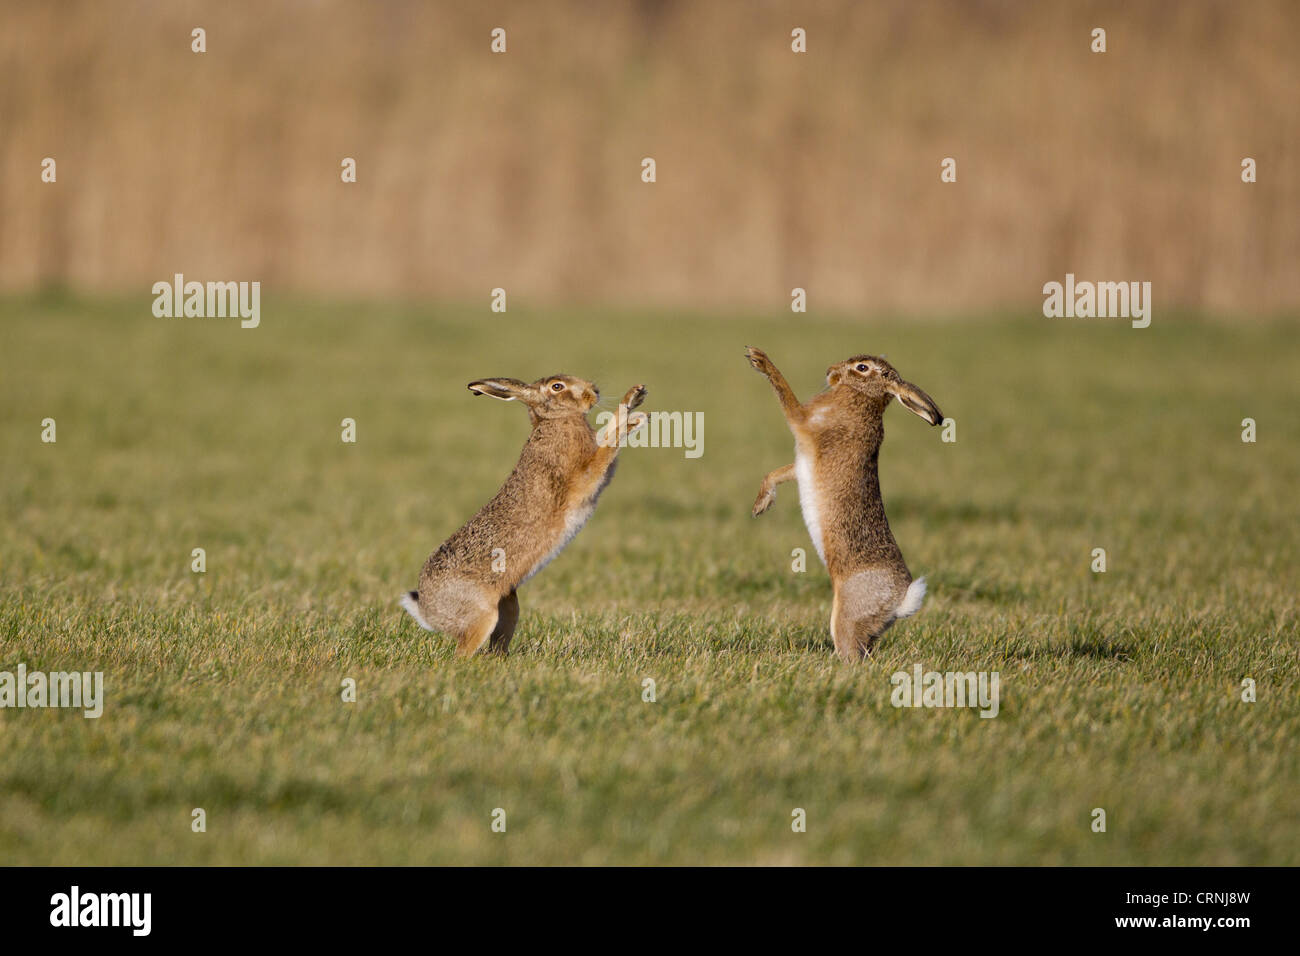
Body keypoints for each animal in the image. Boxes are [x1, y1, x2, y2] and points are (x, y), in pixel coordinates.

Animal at [400, 374, 647, 657]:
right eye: (557, 386)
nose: (593, 392)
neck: (553, 420)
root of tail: (427, 612)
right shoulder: (584, 476)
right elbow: (607, 448)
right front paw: (634, 412)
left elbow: (607, 435)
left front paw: (635, 405)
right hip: (482, 615)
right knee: (462, 653)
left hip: (509, 606)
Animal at [745, 347, 943, 660]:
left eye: (862, 368)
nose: (830, 371)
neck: (863, 397)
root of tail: (899, 601)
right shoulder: (804, 463)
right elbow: (778, 473)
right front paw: (761, 505)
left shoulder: (805, 421)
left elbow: (787, 397)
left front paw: (759, 360)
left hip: (846, 618)